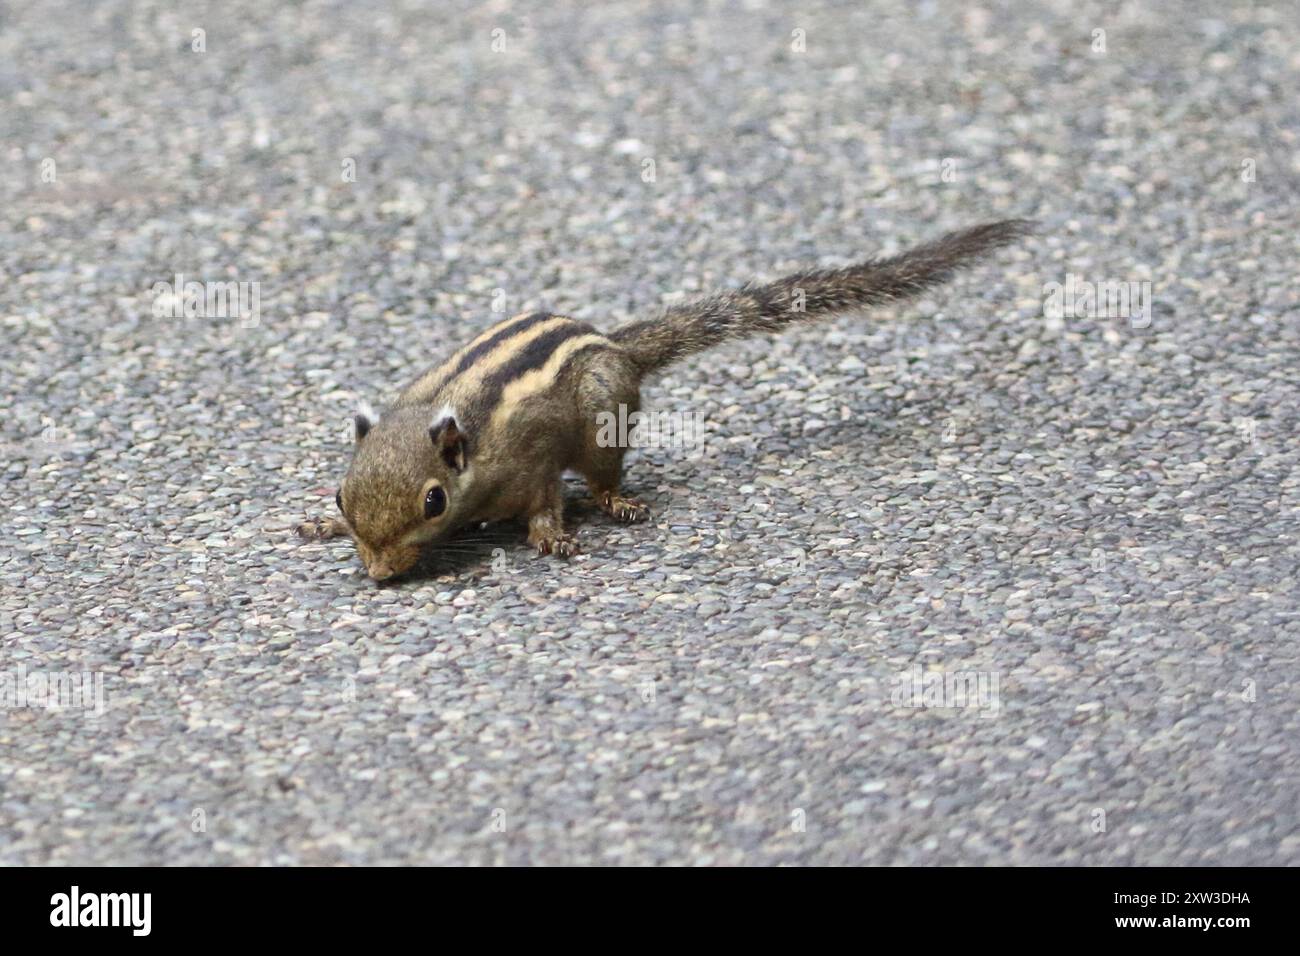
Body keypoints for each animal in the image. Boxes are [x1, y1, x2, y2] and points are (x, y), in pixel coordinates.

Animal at [298, 219, 1031, 580]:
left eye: (432, 502)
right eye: (340, 494)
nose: (378, 574)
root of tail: (616, 346)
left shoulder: (532, 457)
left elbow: (543, 500)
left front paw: (552, 536)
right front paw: (326, 529)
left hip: (603, 423)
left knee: (602, 474)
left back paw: (615, 502)